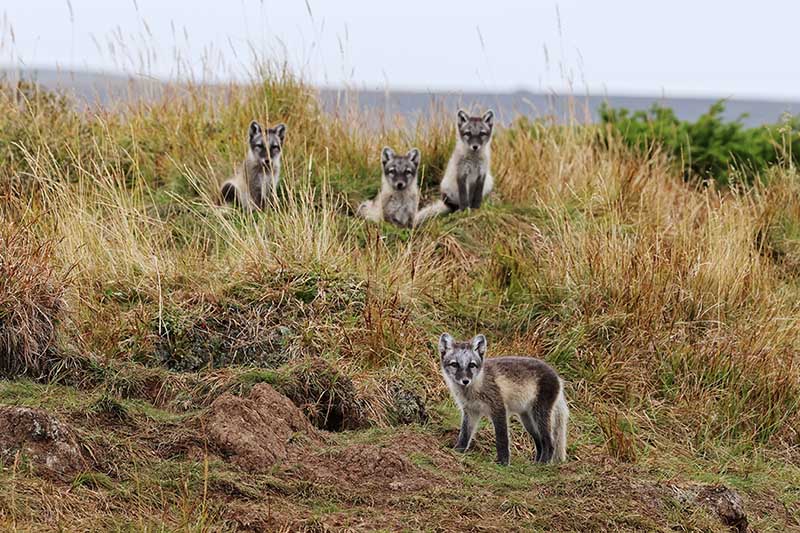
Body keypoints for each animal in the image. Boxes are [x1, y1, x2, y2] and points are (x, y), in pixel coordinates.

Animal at [438, 333, 569, 465]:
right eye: (454, 364)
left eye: (472, 365)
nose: (465, 381)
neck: (475, 387)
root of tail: (558, 377)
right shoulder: (470, 411)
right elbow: (464, 435)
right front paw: (457, 451)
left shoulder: (498, 408)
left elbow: (502, 439)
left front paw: (504, 462)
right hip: (528, 421)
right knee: (540, 442)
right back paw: (535, 463)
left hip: (539, 414)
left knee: (549, 443)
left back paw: (543, 463)